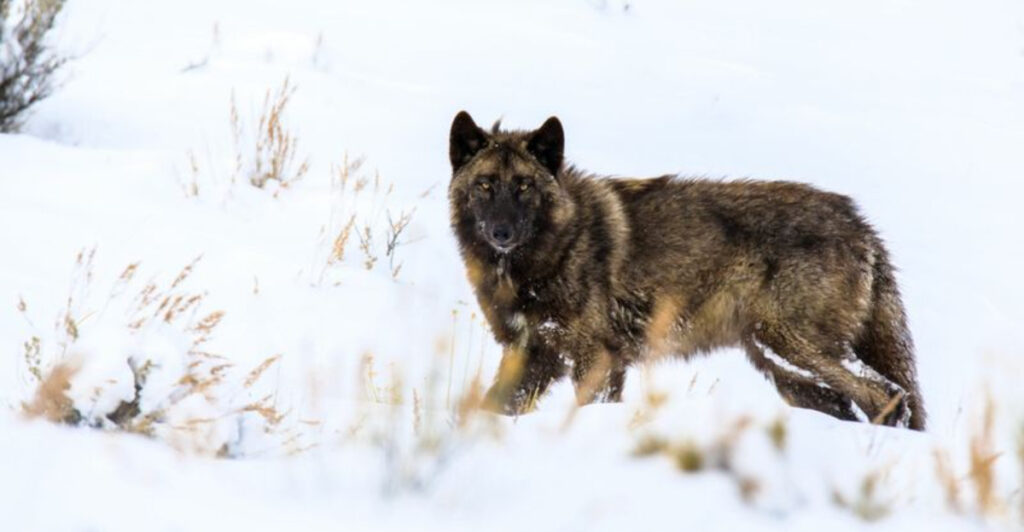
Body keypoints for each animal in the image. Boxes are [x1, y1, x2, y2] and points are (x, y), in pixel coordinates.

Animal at [447, 111, 925, 430]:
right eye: (485, 185)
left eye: (524, 187)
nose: (502, 232)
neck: (554, 250)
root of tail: (860, 224)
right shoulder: (531, 355)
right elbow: (492, 408)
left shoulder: (597, 358)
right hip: (785, 369)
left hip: (793, 347)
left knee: (885, 393)